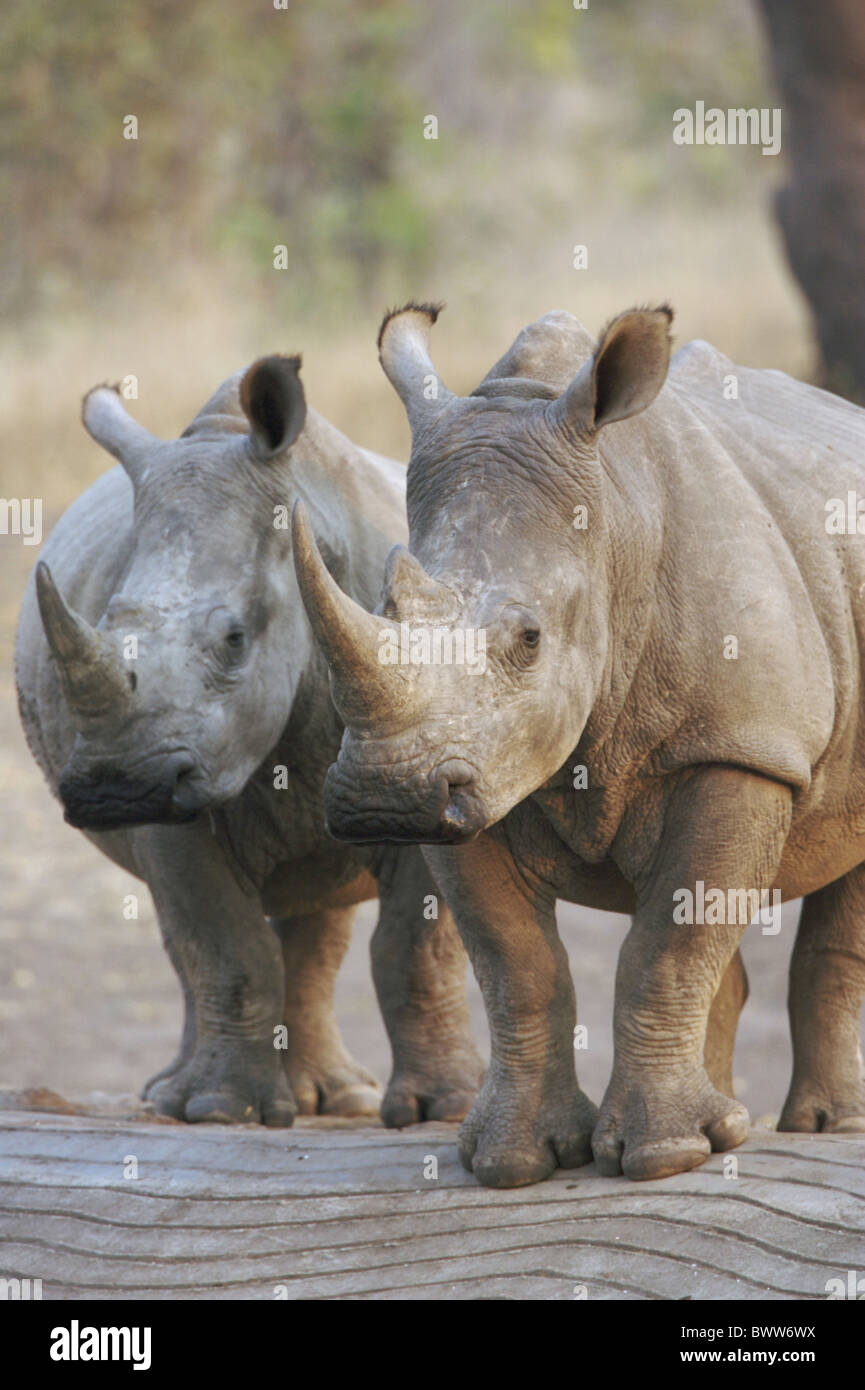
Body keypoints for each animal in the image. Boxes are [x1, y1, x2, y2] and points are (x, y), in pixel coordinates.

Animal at [15, 354, 483, 1126]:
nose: (117, 787)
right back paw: (174, 1098)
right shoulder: (179, 785)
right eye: (104, 622)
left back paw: (336, 1099)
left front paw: (440, 1110)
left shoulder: (431, 771)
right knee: (197, 935)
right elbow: (224, 943)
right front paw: (219, 1110)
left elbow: (417, 948)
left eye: (234, 639)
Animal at [293, 301, 865, 1187]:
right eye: (383, 602)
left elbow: (667, 945)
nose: (386, 796)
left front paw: (662, 1158)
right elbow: (515, 963)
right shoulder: (474, 774)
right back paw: (731, 1125)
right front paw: (512, 1161)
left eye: (528, 640)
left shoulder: (738, 745)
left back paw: (823, 1128)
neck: (614, 532)